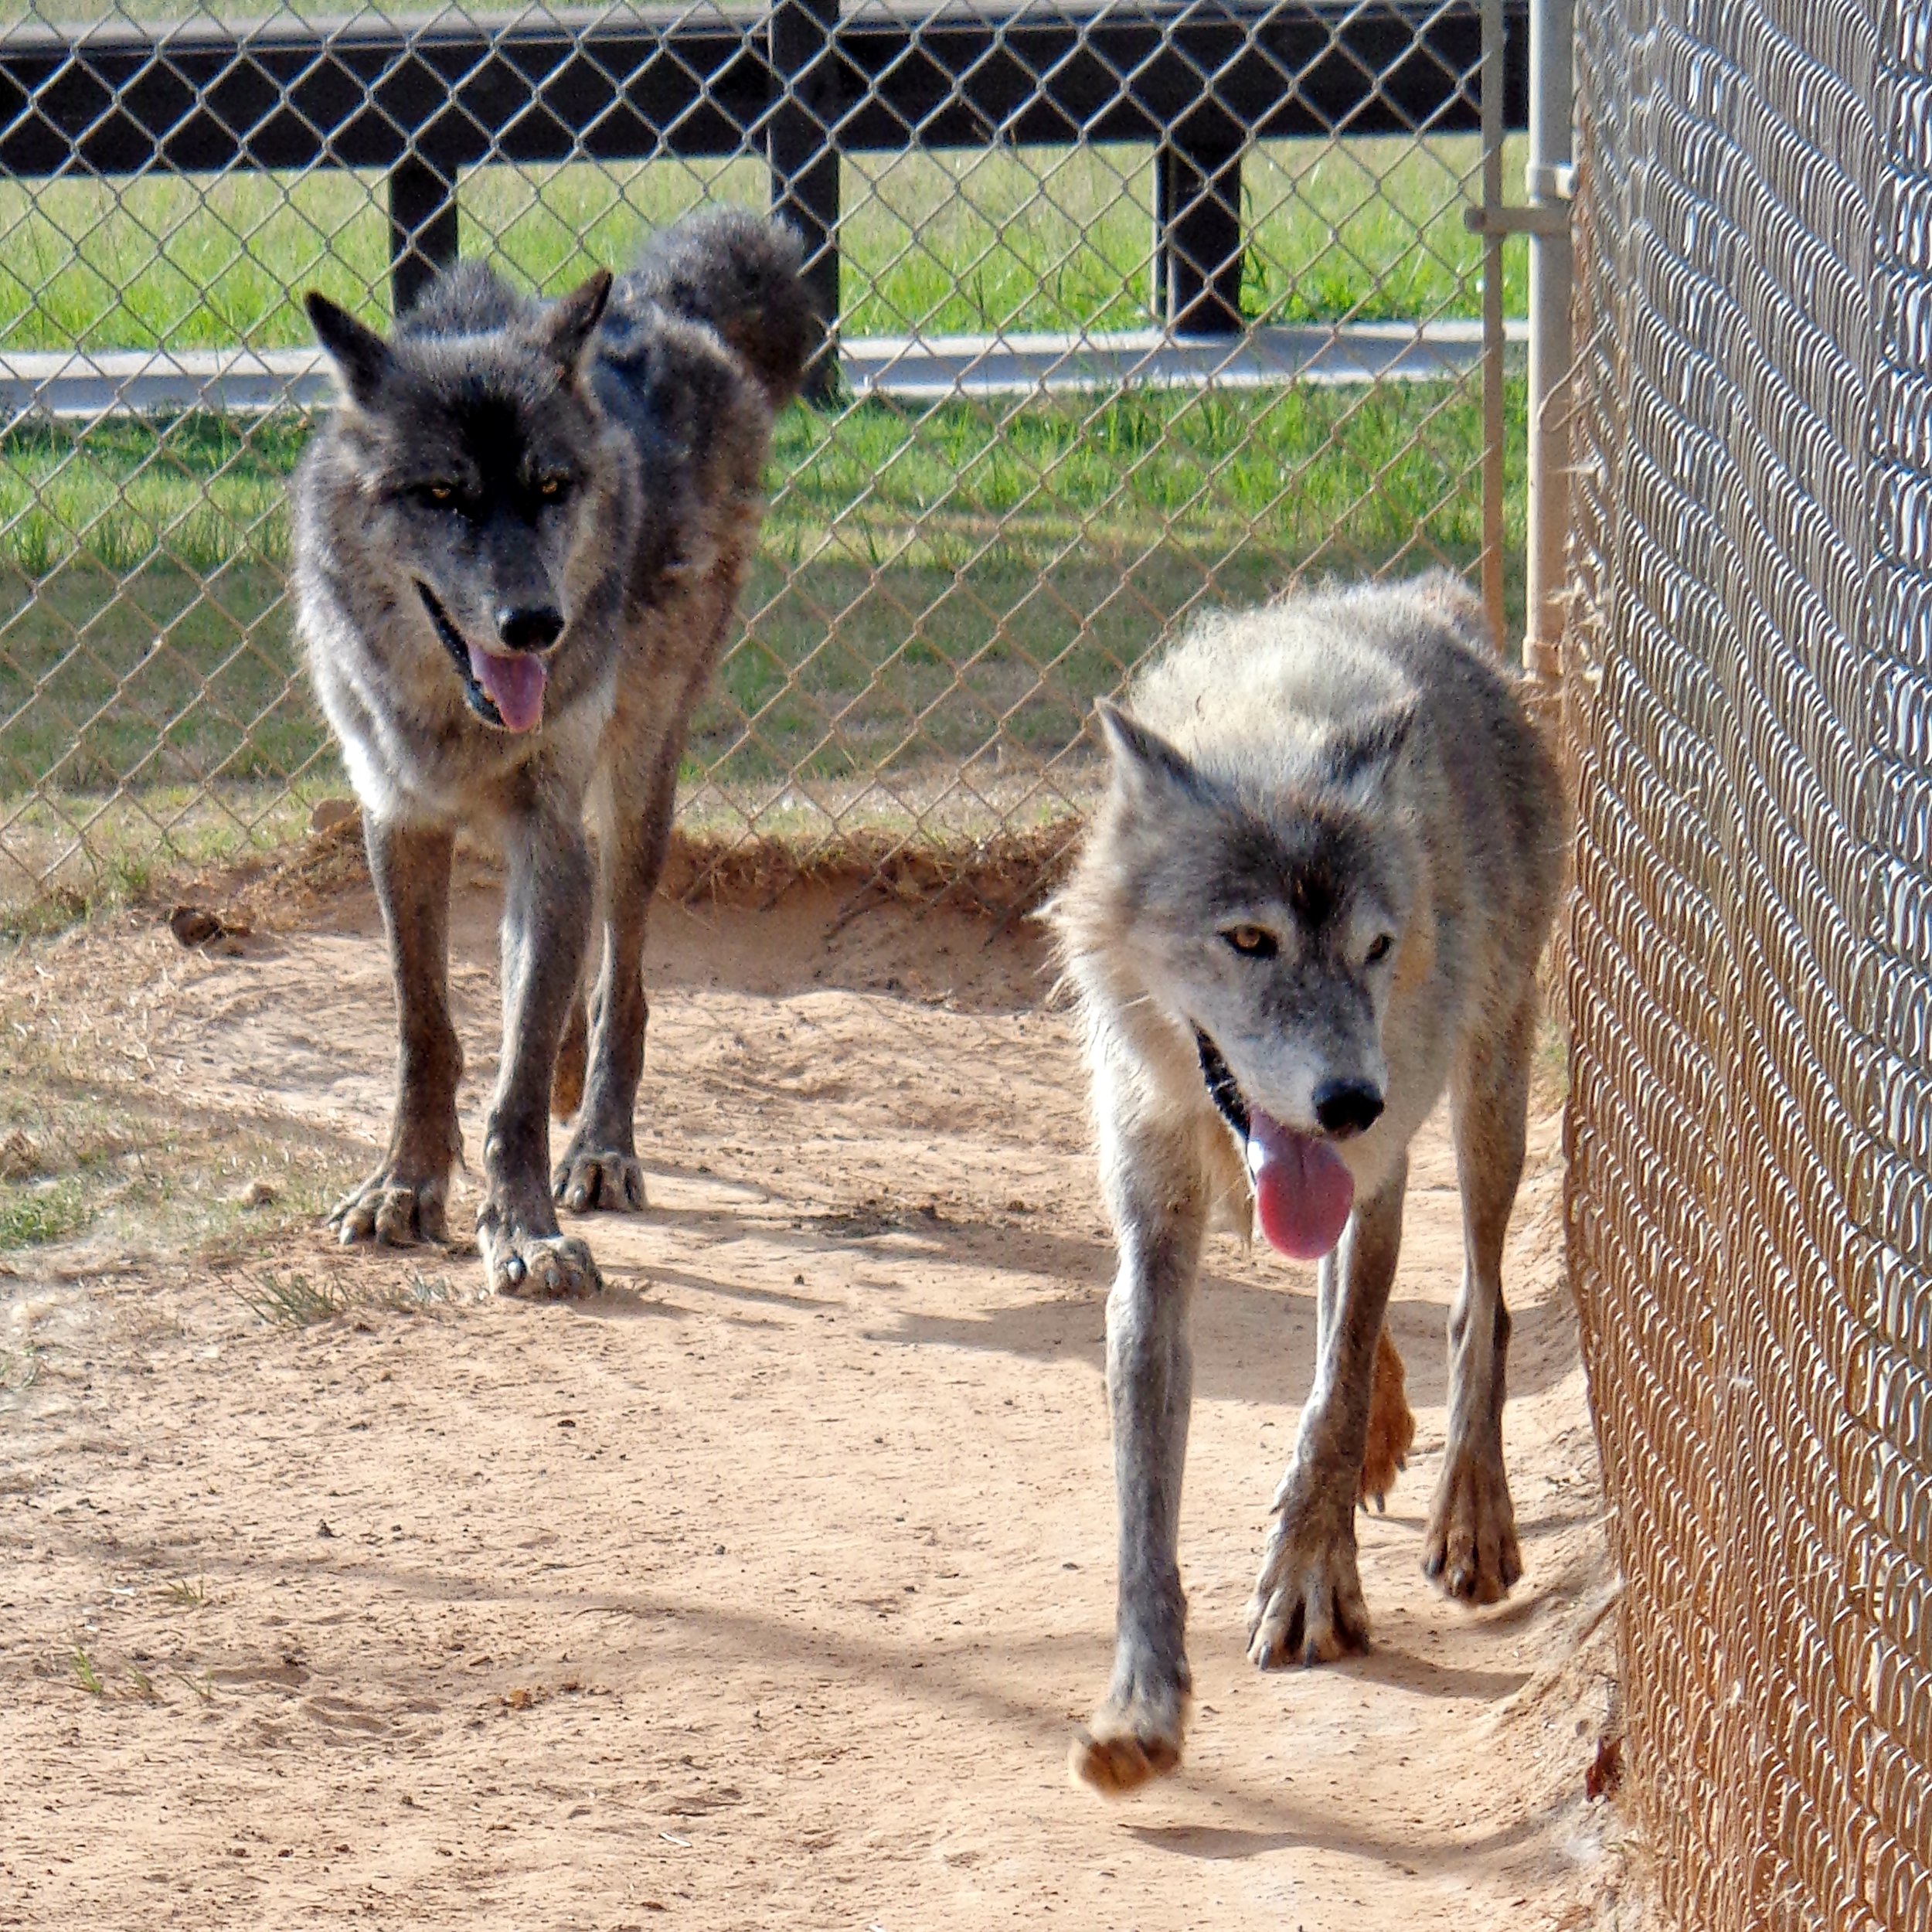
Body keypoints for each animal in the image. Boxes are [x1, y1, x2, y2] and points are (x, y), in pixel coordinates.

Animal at [293, 209, 817, 1296]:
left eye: (548, 487)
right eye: (442, 493)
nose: (535, 624)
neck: (454, 717)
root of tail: (663, 307)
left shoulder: (546, 829)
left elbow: (519, 1074)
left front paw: (524, 1226)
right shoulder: (396, 819)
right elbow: (426, 1030)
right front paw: (403, 1187)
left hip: (636, 789)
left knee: (623, 985)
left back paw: (602, 1146)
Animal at [1047, 573, 1565, 1793]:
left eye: (1375, 947)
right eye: (1249, 939)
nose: (1347, 1101)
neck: (1273, 732)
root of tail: (1421, 597)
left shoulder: (1375, 1174)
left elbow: (1329, 1397)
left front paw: (1311, 1584)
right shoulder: (1151, 1246)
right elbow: (1145, 1501)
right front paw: (1141, 1705)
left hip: (1488, 1102)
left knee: (1480, 1302)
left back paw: (1470, 1514)